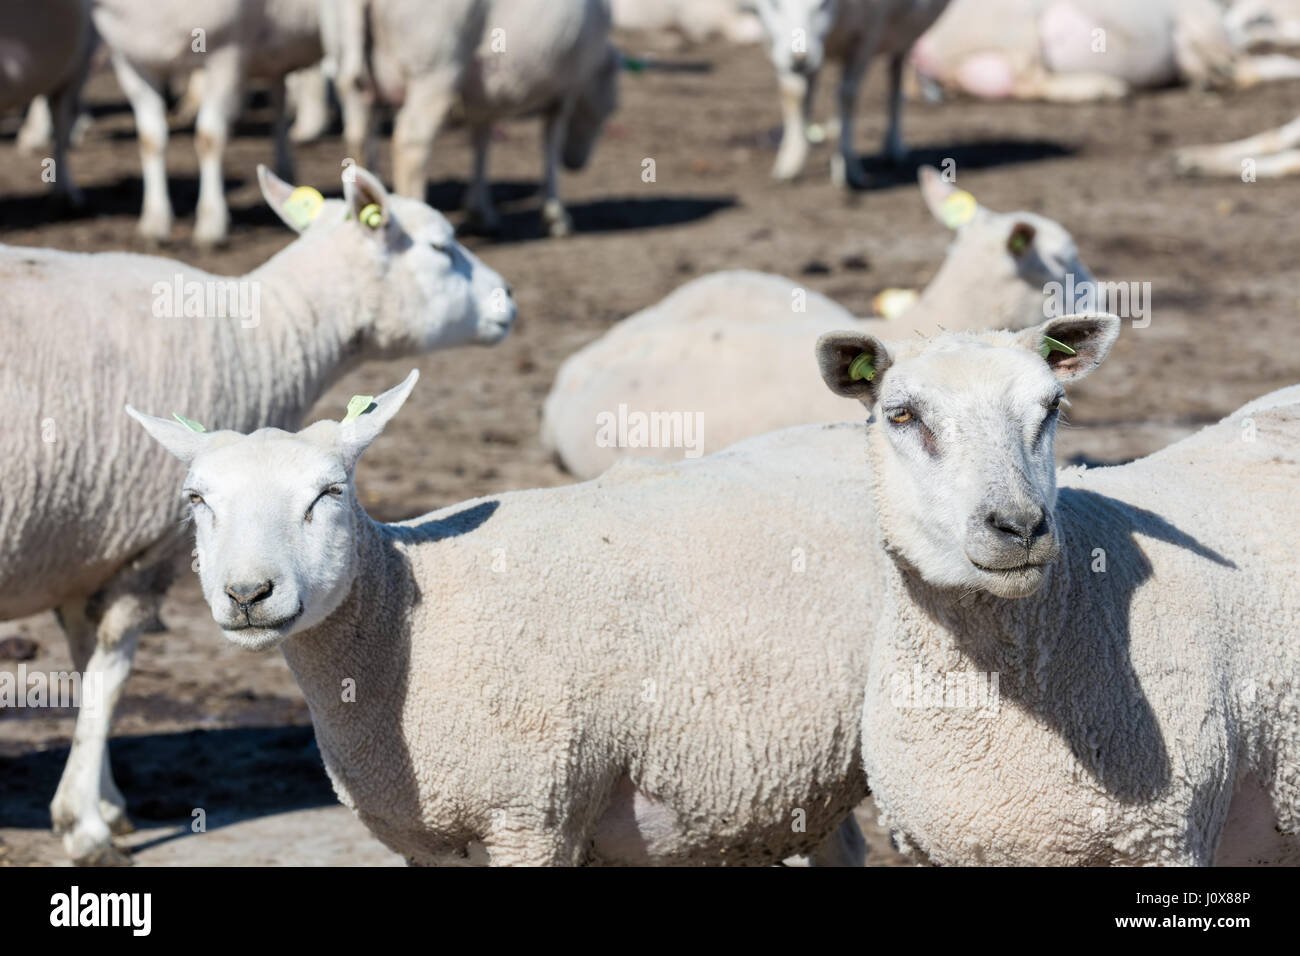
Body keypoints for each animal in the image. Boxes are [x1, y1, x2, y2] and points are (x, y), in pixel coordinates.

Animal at [0, 164, 517, 865]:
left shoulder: (88, 546)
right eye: (441, 246)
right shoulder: (147, 542)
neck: (266, 336)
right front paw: (83, 823)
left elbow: (87, 670)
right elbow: (111, 671)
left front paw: (106, 802)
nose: (507, 298)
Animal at [91, 0, 326, 244]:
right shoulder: (131, 62)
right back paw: (285, 171)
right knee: (279, 98)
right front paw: (155, 221)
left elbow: (208, 139)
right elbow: (150, 141)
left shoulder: (226, 55)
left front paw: (211, 223)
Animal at [126, 371, 880, 866]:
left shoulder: (532, 815)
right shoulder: (429, 838)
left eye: (329, 493)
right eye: (197, 500)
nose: (248, 593)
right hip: (814, 774)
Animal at [336, 0, 621, 237]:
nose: (575, 164)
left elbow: (481, 139)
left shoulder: (485, 96)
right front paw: (555, 216)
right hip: (436, 69)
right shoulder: (567, 87)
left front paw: (480, 211)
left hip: (355, 72)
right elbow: (551, 141)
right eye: (609, 110)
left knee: (358, 134)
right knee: (411, 142)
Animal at [748, 0, 951, 188]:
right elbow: (793, 94)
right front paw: (789, 163)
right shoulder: (775, 43)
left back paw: (893, 147)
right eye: (774, 4)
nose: (799, 60)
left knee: (895, 78)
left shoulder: (868, 35)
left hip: (904, 34)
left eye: (822, 4)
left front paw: (846, 165)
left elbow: (848, 95)